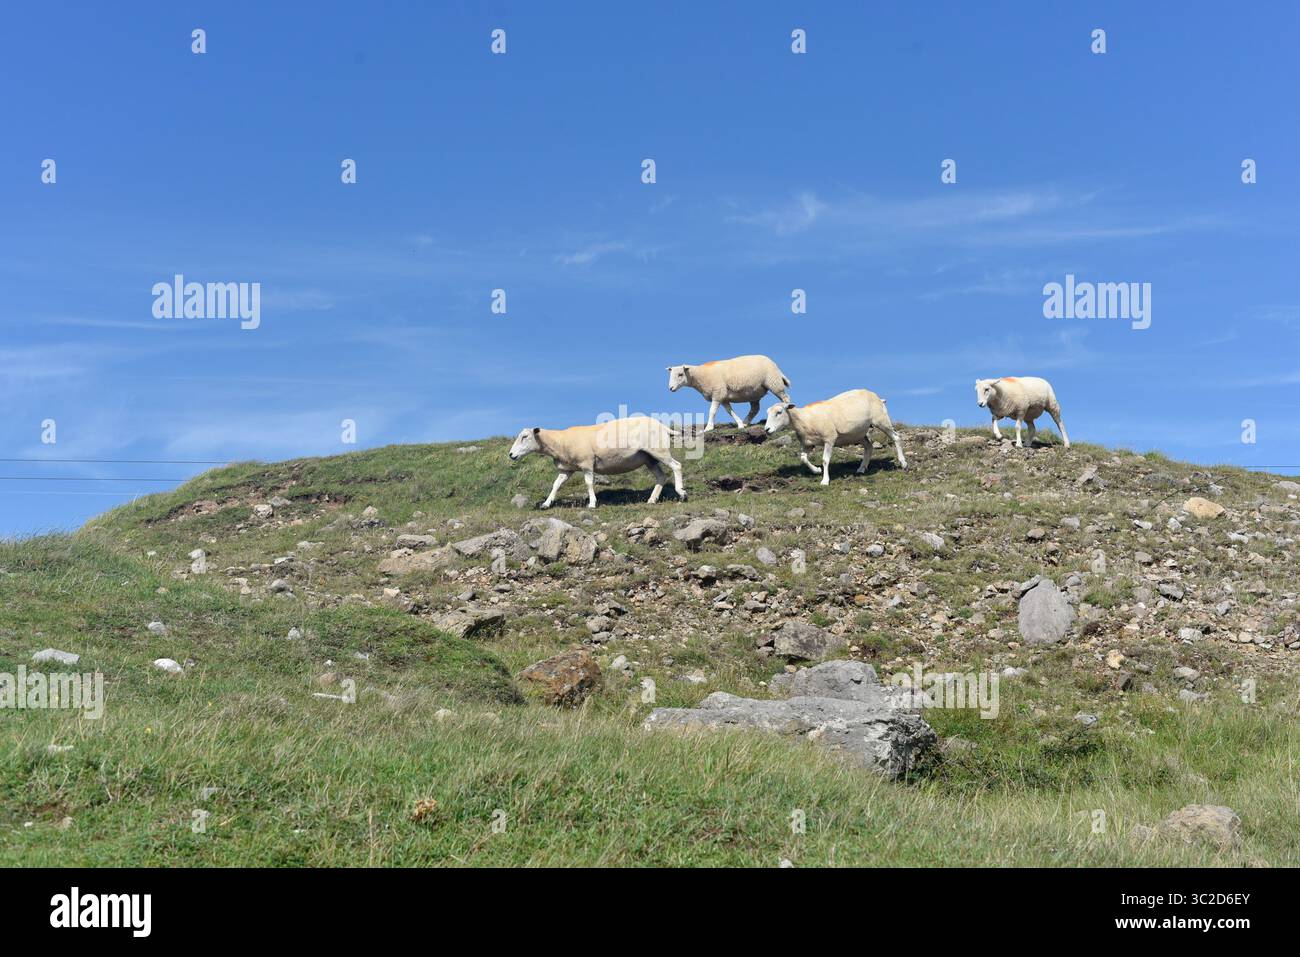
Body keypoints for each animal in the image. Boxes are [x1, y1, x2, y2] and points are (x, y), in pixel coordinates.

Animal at [508, 416, 686, 509]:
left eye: (525, 436)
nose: (511, 454)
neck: (560, 442)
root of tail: (664, 427)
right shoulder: (567, 469)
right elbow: (556, 484)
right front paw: (546, 503)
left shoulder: (587, 463)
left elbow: (588, 483)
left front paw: (592, 503)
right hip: (648, 458)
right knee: (661, 477)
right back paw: (652, 499)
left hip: (658, 450)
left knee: (677, 466)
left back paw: (682, 492)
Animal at [763, 389, 907, 485]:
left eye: (779, 412)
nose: (767, 430)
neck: (804, 419)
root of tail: (877, 396)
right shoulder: (808, 443)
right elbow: (803, 458)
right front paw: (816, 470)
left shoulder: (829, 438)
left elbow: (825, 460)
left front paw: (825, 480)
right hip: (857, 433)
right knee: (869, 446)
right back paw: (861, 468)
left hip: (881, 420)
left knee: (896, 437)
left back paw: (903, 463)